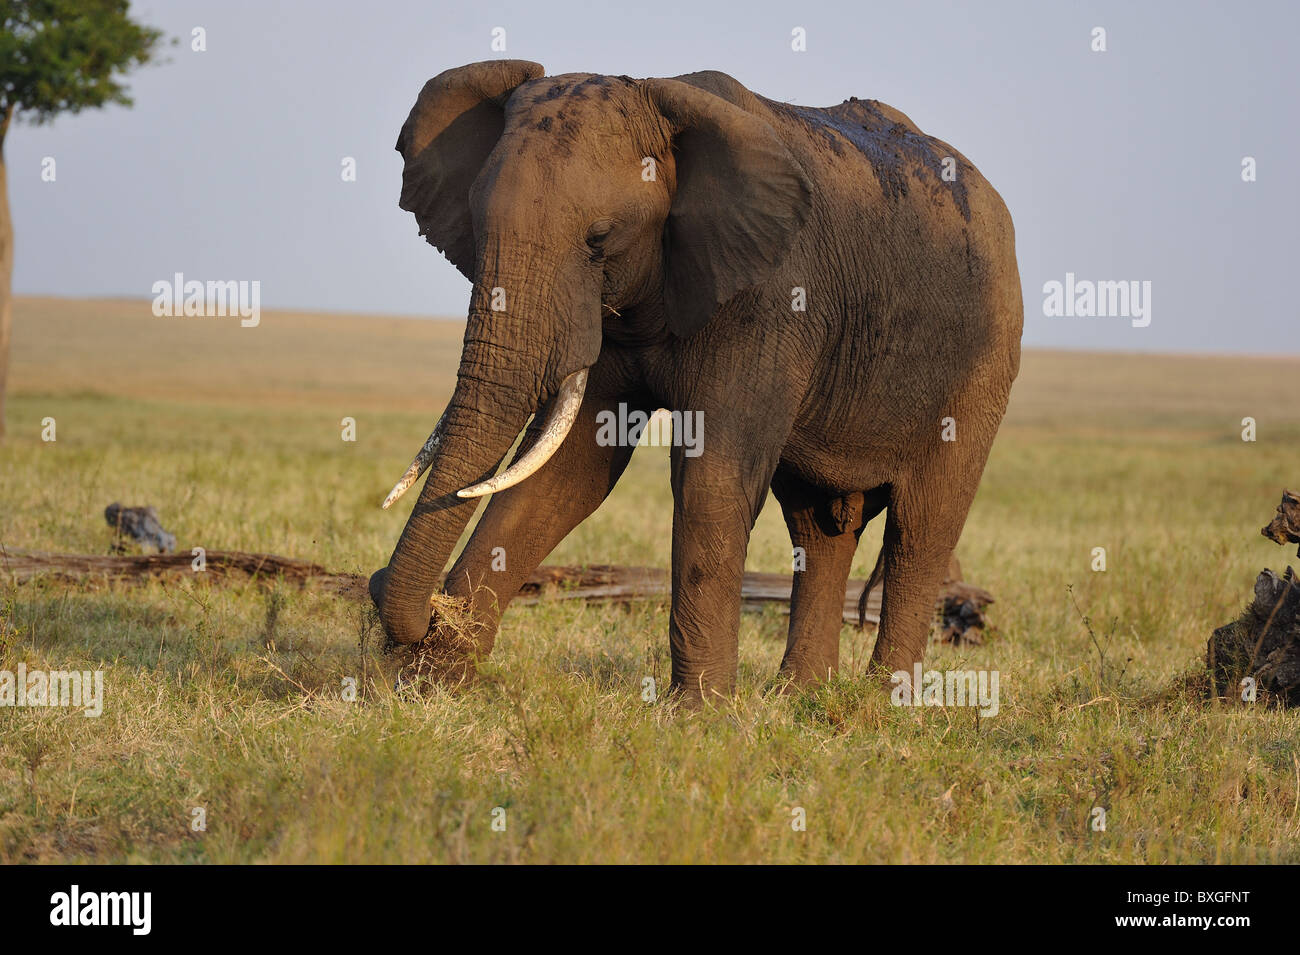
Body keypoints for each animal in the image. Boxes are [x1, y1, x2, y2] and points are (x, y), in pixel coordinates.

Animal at [368, 60, 1022, 703]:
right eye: (477, 231)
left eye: (599, 238)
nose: (379, 587)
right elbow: (566, 477)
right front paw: (434, 685)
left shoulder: (771, 299)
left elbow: (711, 482)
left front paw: (700, 715)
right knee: (817, 529)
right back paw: (801, 700)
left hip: (988, 358)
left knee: (922, 530)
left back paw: (878, 710)